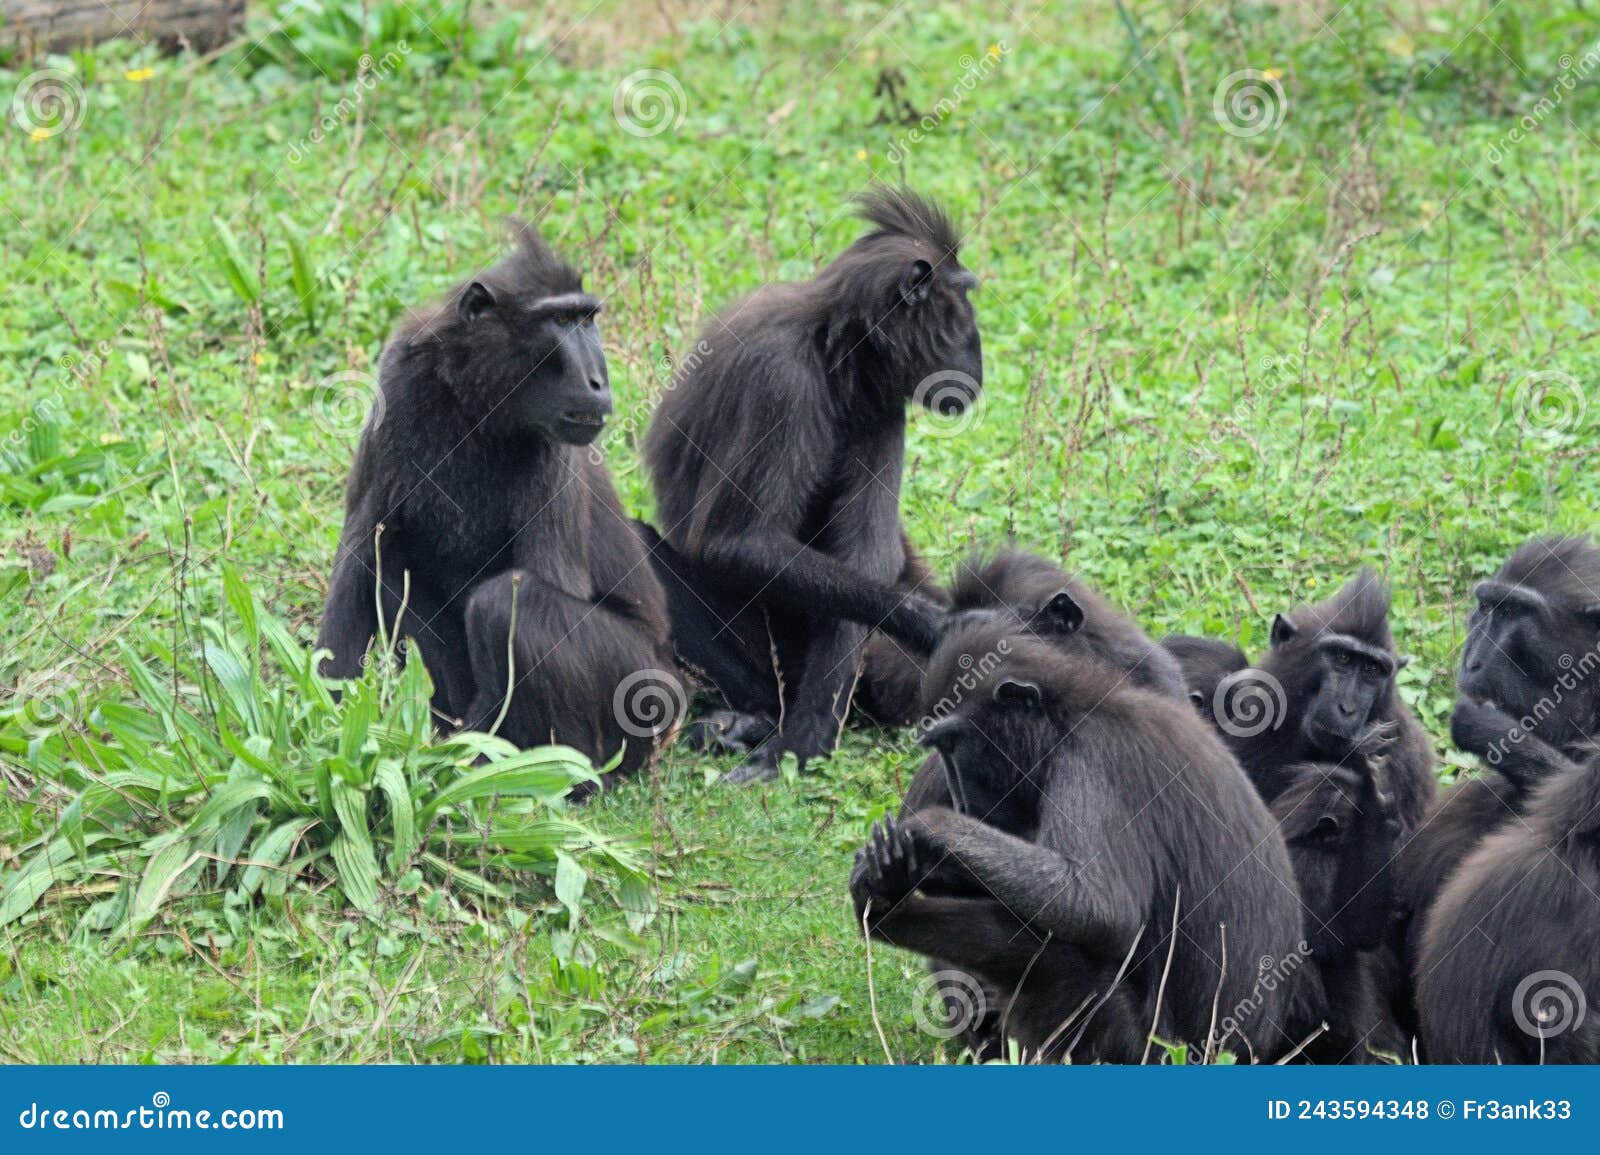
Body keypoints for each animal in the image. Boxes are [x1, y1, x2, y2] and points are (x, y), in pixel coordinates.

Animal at [316, 221, 677, 798]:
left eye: (587, 319)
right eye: (561, 321)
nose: (600, 382)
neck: (477, 405)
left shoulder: (554, 446)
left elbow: (542, 583)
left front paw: (450, 768)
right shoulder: (398, 381)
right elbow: (361, 548)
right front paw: (328, 732)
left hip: (645, 691)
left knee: (505, 603)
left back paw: (568, 778)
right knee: (393, 555)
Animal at [641, 188, 982, 784]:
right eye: (964, 299)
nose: (979, 341)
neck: (831, 344)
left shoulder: (881, 402)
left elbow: (864, 557)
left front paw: (805, 741)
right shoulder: (780, 381)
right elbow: (737, 542)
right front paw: (934, 623)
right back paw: (757, 714)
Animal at [852, 619, 1306, 1063]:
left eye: (951, 743)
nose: (960, 799)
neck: (1069, 718)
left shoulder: (1093, 757)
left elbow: (1094, 905)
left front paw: (929, 830)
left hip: (1147, 1048)